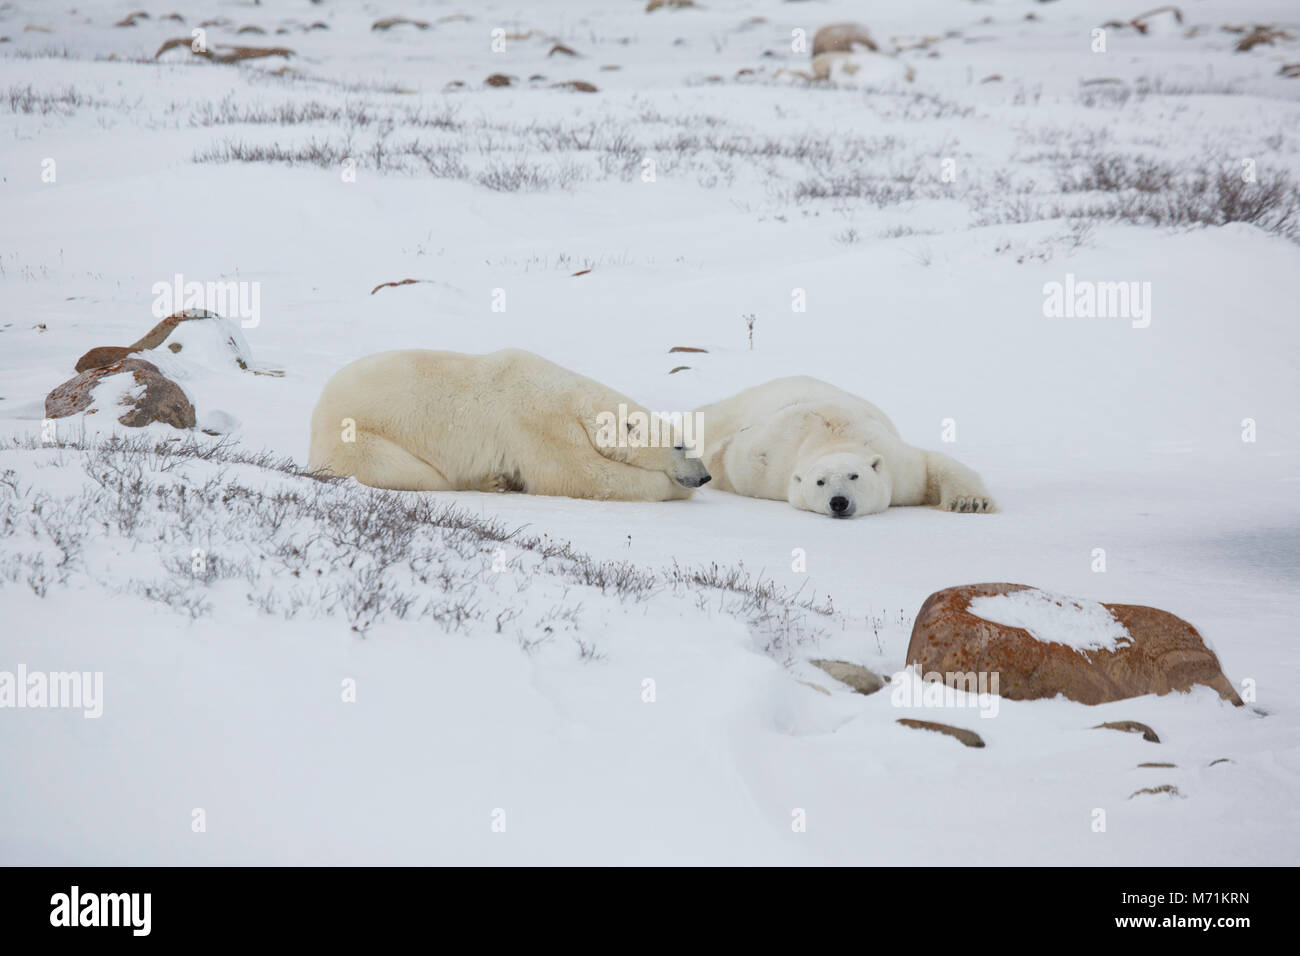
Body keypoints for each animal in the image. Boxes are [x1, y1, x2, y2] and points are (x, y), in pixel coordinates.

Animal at [308, 348, 710, 501]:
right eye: (679, 446)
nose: (705, 476)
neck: (573, 403)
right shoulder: (538, 425)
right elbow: (582, 475)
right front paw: (673, 489)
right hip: (360, 439)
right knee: (417, 473)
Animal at [693, 376, 993, 518]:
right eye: (820, 482)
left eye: (854, 476)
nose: (839, 501)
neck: (832, 437)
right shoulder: (761, 467)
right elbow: (723, 456)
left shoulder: (900, 467)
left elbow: (932, 464)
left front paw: (969, 502)